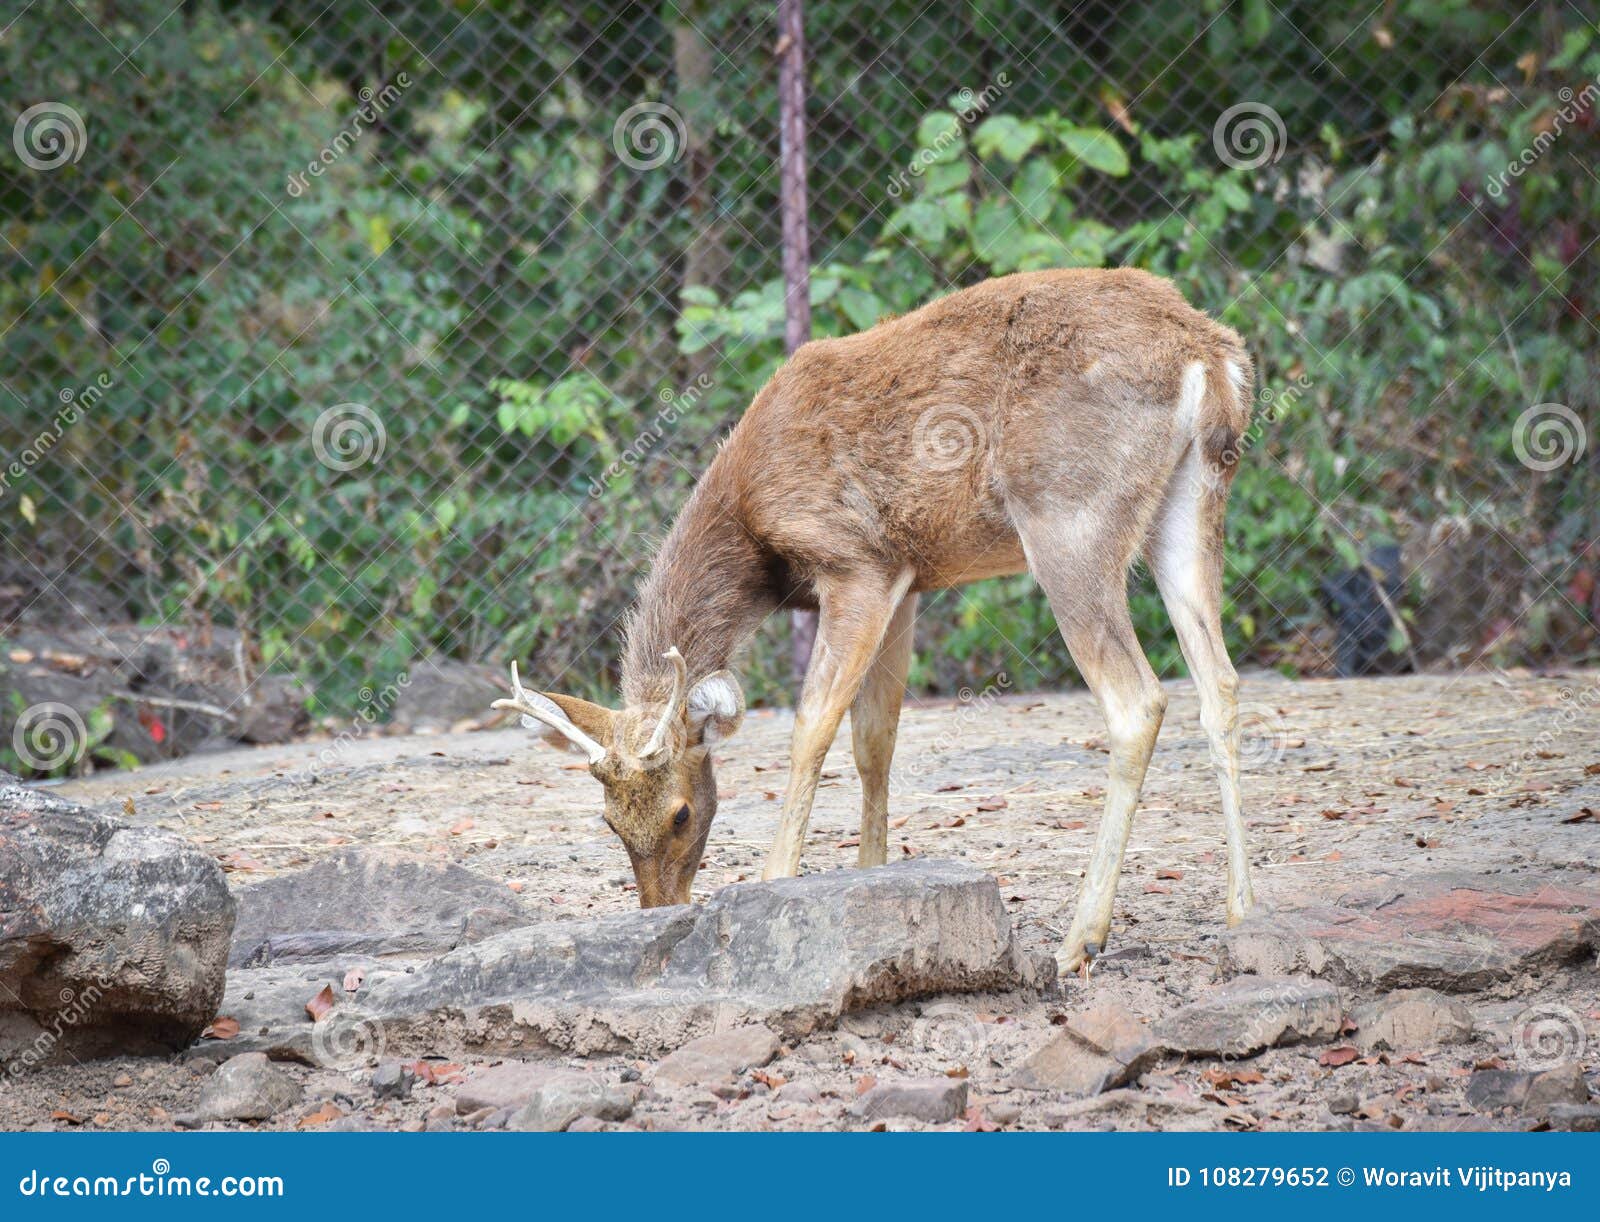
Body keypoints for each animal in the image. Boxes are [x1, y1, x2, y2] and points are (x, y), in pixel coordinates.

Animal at [494, 267, 1254, 973]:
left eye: (682, 810)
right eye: (608, 820)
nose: (658, 910)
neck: (752, 528)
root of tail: (1207, 355)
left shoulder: (855, 561)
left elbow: (812, 726)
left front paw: (775, 881)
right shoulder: (910, 578)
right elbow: (875, 739)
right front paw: (873, 878)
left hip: (1068, 516)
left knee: (1139, 700)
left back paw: (1080, 940)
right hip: (1193, 501)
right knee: (1219, 681)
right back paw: (1242, 908)